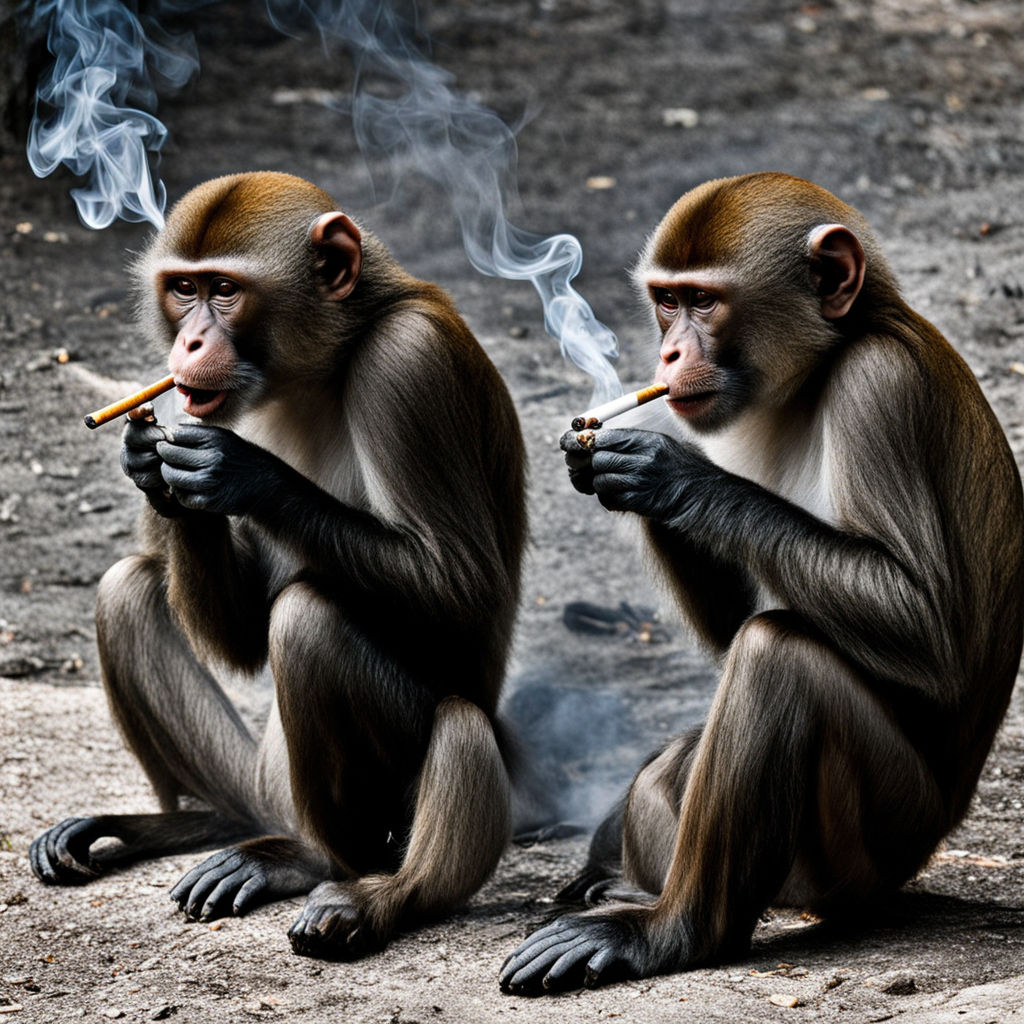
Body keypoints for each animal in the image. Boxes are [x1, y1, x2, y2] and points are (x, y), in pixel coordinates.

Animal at [29, 170, 527, 960]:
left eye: (226, 291)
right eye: (185, 289)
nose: (191, 341)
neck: (325, 363)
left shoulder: (410, 363)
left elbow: (461, 585)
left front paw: (239, 474)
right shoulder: (239, 401)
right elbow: (235, 636)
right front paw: (153, 464)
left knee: (310, 623)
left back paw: (330, 872)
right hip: (265, 784)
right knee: (125, 586)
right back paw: (195, 822)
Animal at [500, 172, 1024, 993]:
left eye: (704, 301)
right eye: (667, 300)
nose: (669, 352)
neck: (824, 366)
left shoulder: (879, 388)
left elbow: (923, 623)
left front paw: (668, 470)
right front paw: (612, 455)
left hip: (872, 841)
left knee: (778, 655)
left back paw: (672, 932)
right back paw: (625, 880)